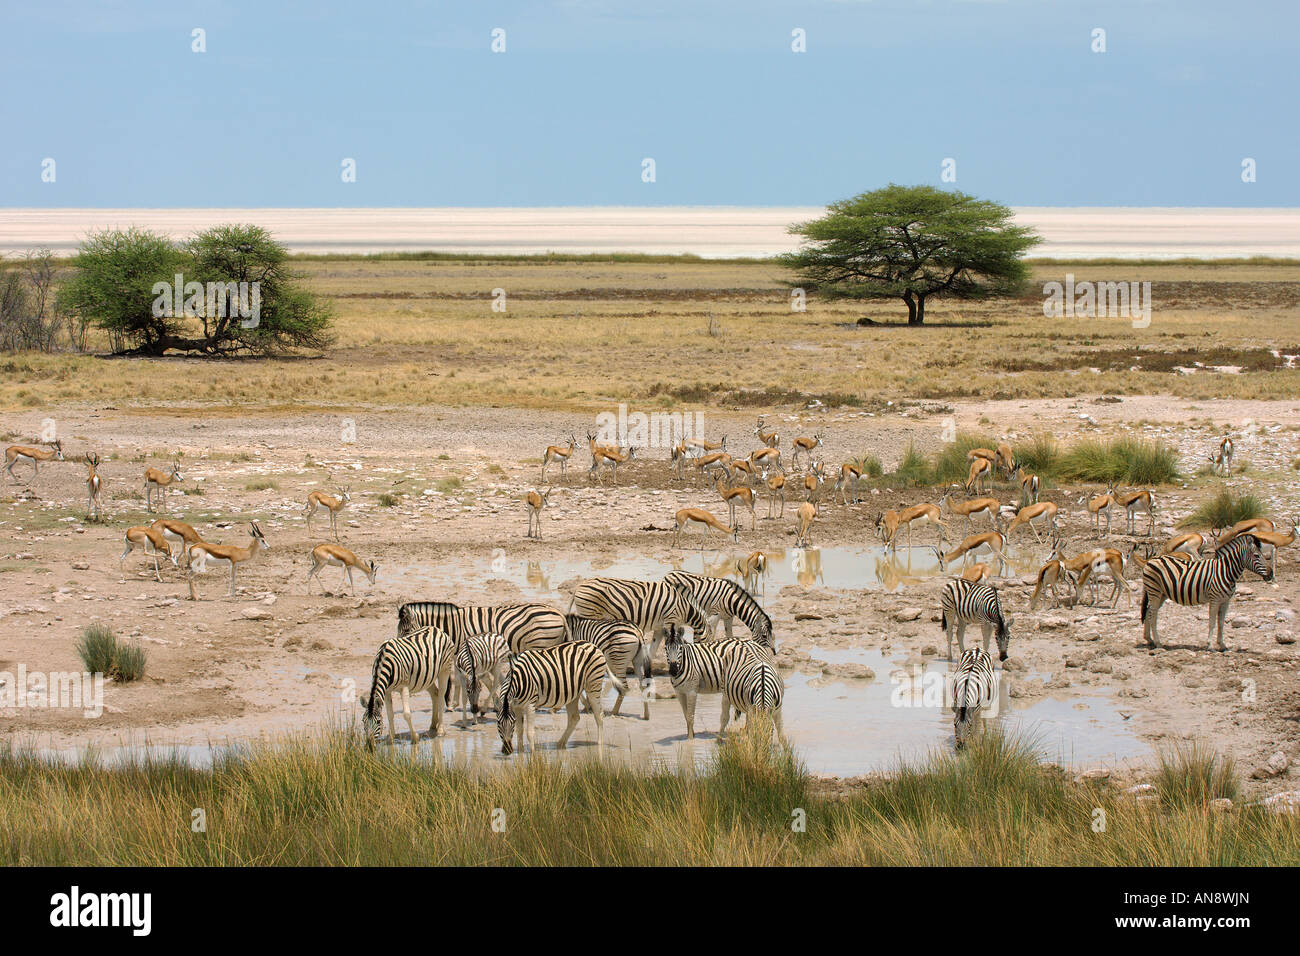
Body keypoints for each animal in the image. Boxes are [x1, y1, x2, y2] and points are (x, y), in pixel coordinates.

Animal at [1140, 533, 1273, 651]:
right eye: (1256, 555)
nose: (1271, 574)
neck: (1225, 572)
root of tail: (1151, 560)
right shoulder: (1215, 599)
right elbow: (1212, 622)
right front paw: (1210, 646)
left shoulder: (1225, 601)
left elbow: (1221, 623)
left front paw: (1222, 645)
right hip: (1155, 591)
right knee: (1153, 614)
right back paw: (1158, 643)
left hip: (1162, 594)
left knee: (1149, 611)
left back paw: (1149, 639)